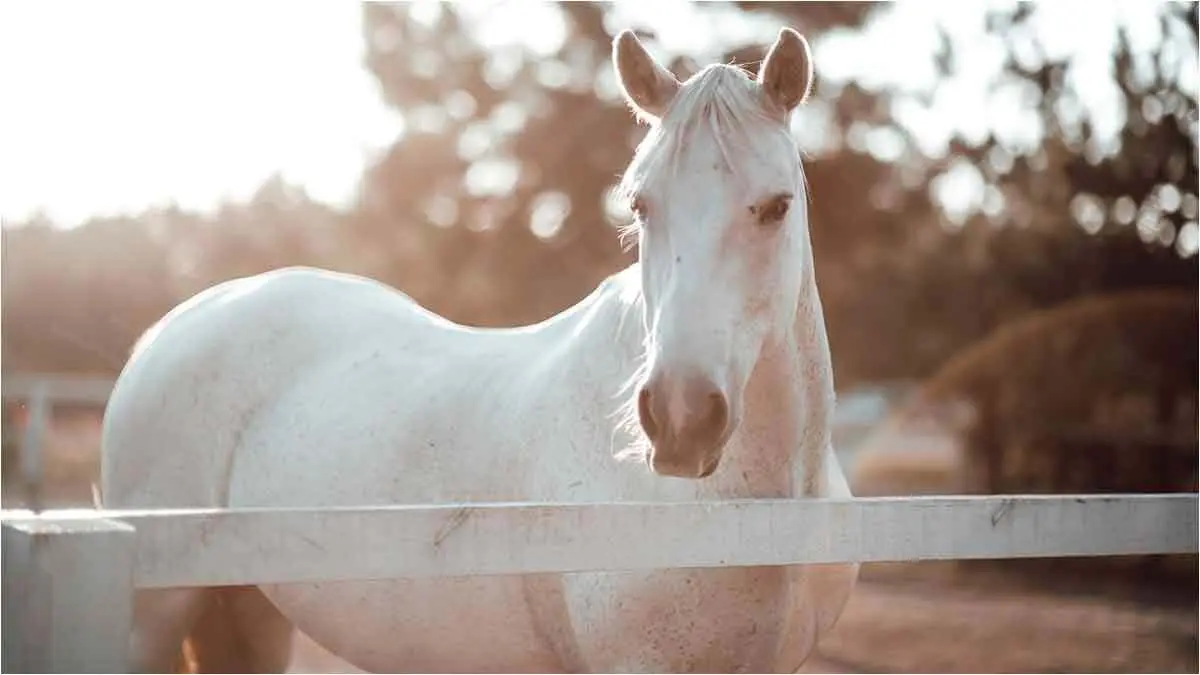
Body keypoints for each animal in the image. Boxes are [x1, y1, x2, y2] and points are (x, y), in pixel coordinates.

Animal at [100, 27, 859, 673]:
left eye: (776, 206)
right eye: (640, 204)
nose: (679, 417)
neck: (749, 512)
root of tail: (180, 323)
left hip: (249, 609)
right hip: (152, 620)